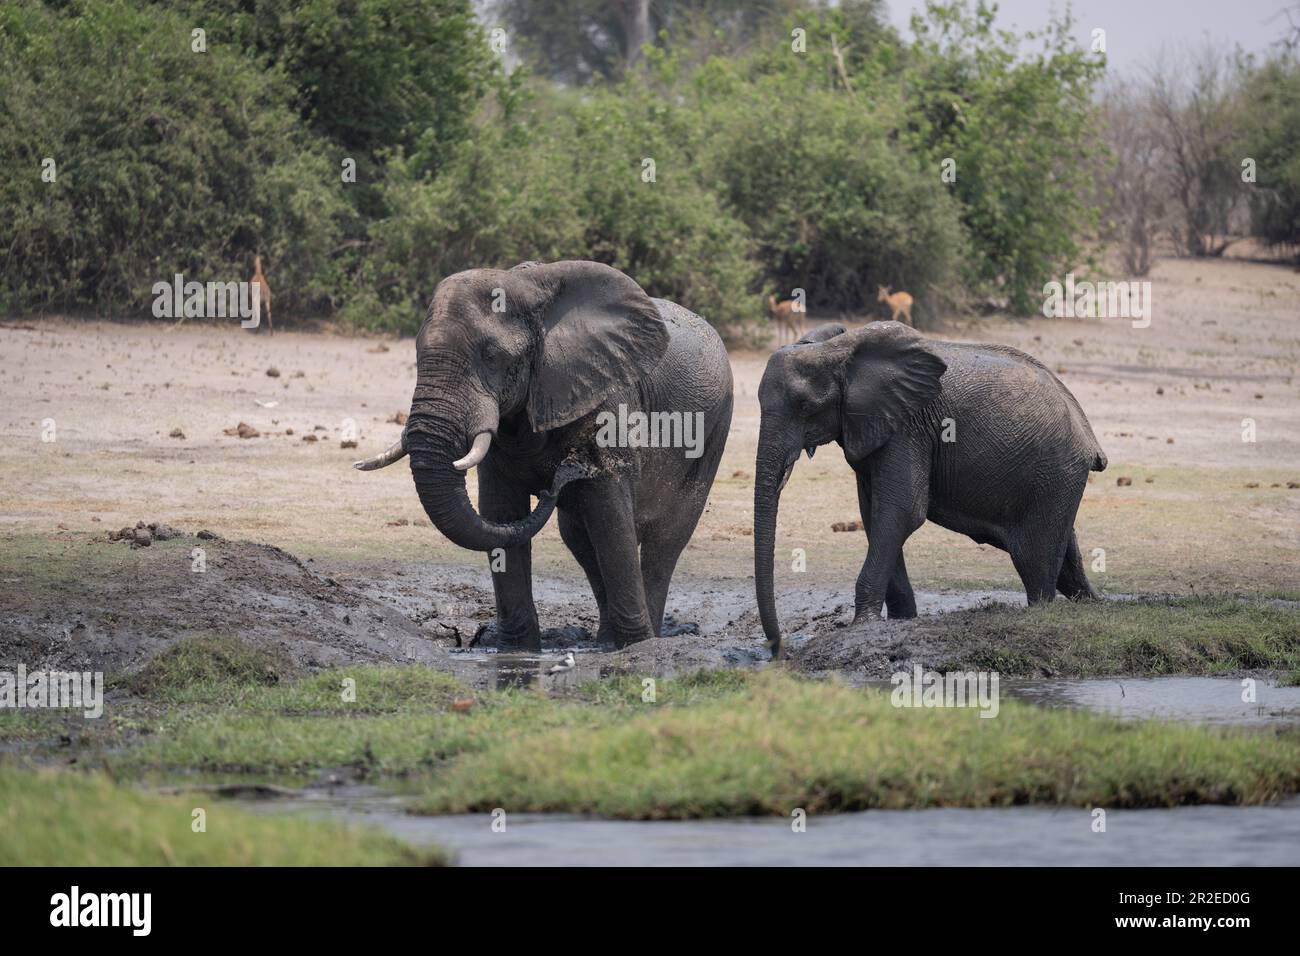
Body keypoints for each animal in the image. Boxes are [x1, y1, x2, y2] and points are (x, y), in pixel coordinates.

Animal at [354, 260, 734, 649]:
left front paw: (635, 646)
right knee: (579, 537)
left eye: (492, 356)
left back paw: (645, 639)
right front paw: (515, 651)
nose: (568, 470)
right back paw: (602, 641)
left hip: (716, 423)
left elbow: (611, 515)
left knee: (664, 539)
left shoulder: (607, 399)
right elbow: (501, 513)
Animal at [754, 321, 1107, 656]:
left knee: (1036, 564)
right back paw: (1092, 602)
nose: (780, 653)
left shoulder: (907, 427)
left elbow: (901, 512)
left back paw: (1041, 609)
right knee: (1066, 562)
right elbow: (874, 515)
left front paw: (862, 625)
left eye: (804, 406)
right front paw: (900, 621)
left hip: (1055, 474)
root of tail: (1089, 436)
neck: (835, 351)